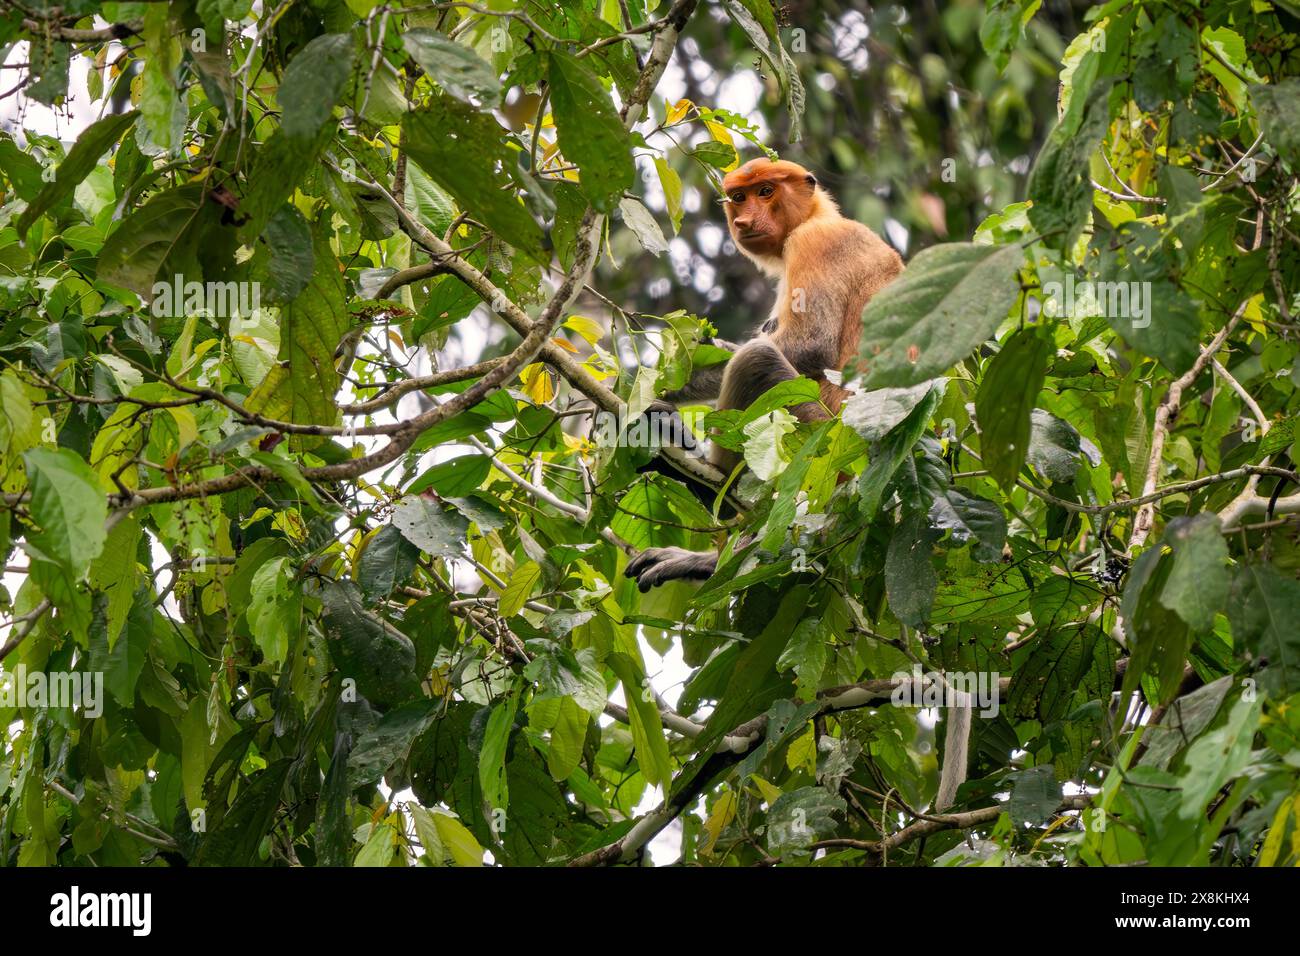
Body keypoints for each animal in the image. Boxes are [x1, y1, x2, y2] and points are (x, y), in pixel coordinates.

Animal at [626, 158, 903, 592]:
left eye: (766, 191)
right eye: (739, 197)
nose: (743, 220)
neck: (818, 215)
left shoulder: (815, 241)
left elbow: (810, 344)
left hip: (821, 448)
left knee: (756, 359)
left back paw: (711, 488)